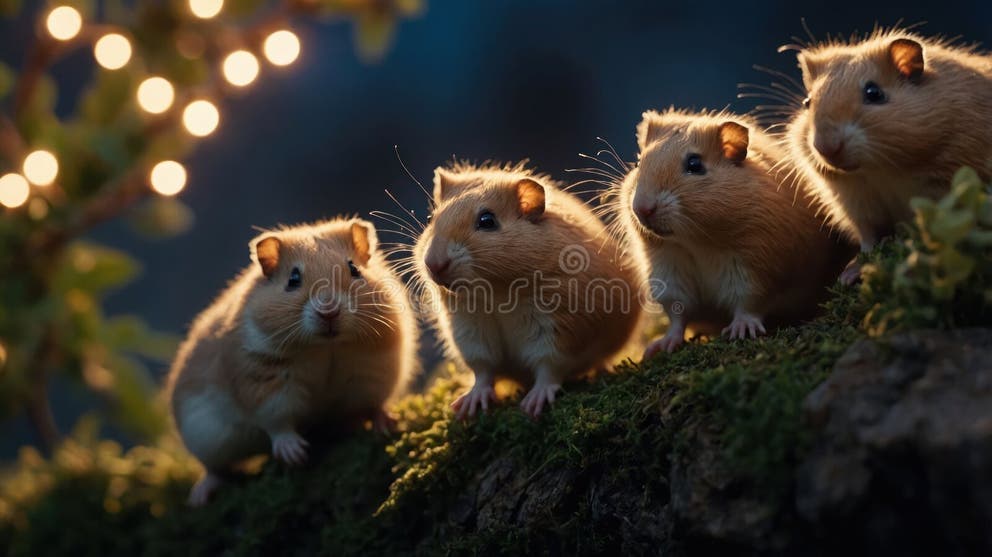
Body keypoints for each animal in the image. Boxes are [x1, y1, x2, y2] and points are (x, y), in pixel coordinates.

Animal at [166, 218, 418, 505]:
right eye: (293, 279)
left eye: (354, 269)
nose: (329, 311)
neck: (326, 347)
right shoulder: (265, 383)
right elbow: (278, 422)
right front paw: (296, 455)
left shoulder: (373, 371)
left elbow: (374, 404)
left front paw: (388, 424)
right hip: (204, 435)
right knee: (214, 468)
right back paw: (199, 497)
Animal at [413, 162, 644, 419]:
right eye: (432, 218)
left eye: (487, 220)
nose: (433, 265)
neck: (496, 291)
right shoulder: (470, 330)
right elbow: (483, 371)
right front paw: (469, 403)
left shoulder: (558, 329)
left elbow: (549, 368)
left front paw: (534, 403)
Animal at [618, 109, 852, 357]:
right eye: (639, 162)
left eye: (694, 164)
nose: (642, 209)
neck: (697, 240)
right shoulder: (669, 270)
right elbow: (678, 315)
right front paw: (661, 346)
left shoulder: (757, 266)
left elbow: (747, 304)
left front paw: (740, 331)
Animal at [784, 29, 992, 282]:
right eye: (807, 102)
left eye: (874, 93)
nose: (826, 148)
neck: (882, 170)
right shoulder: (855, 202)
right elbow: (868, 239)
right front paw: (848, 275)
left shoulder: (942, 185)